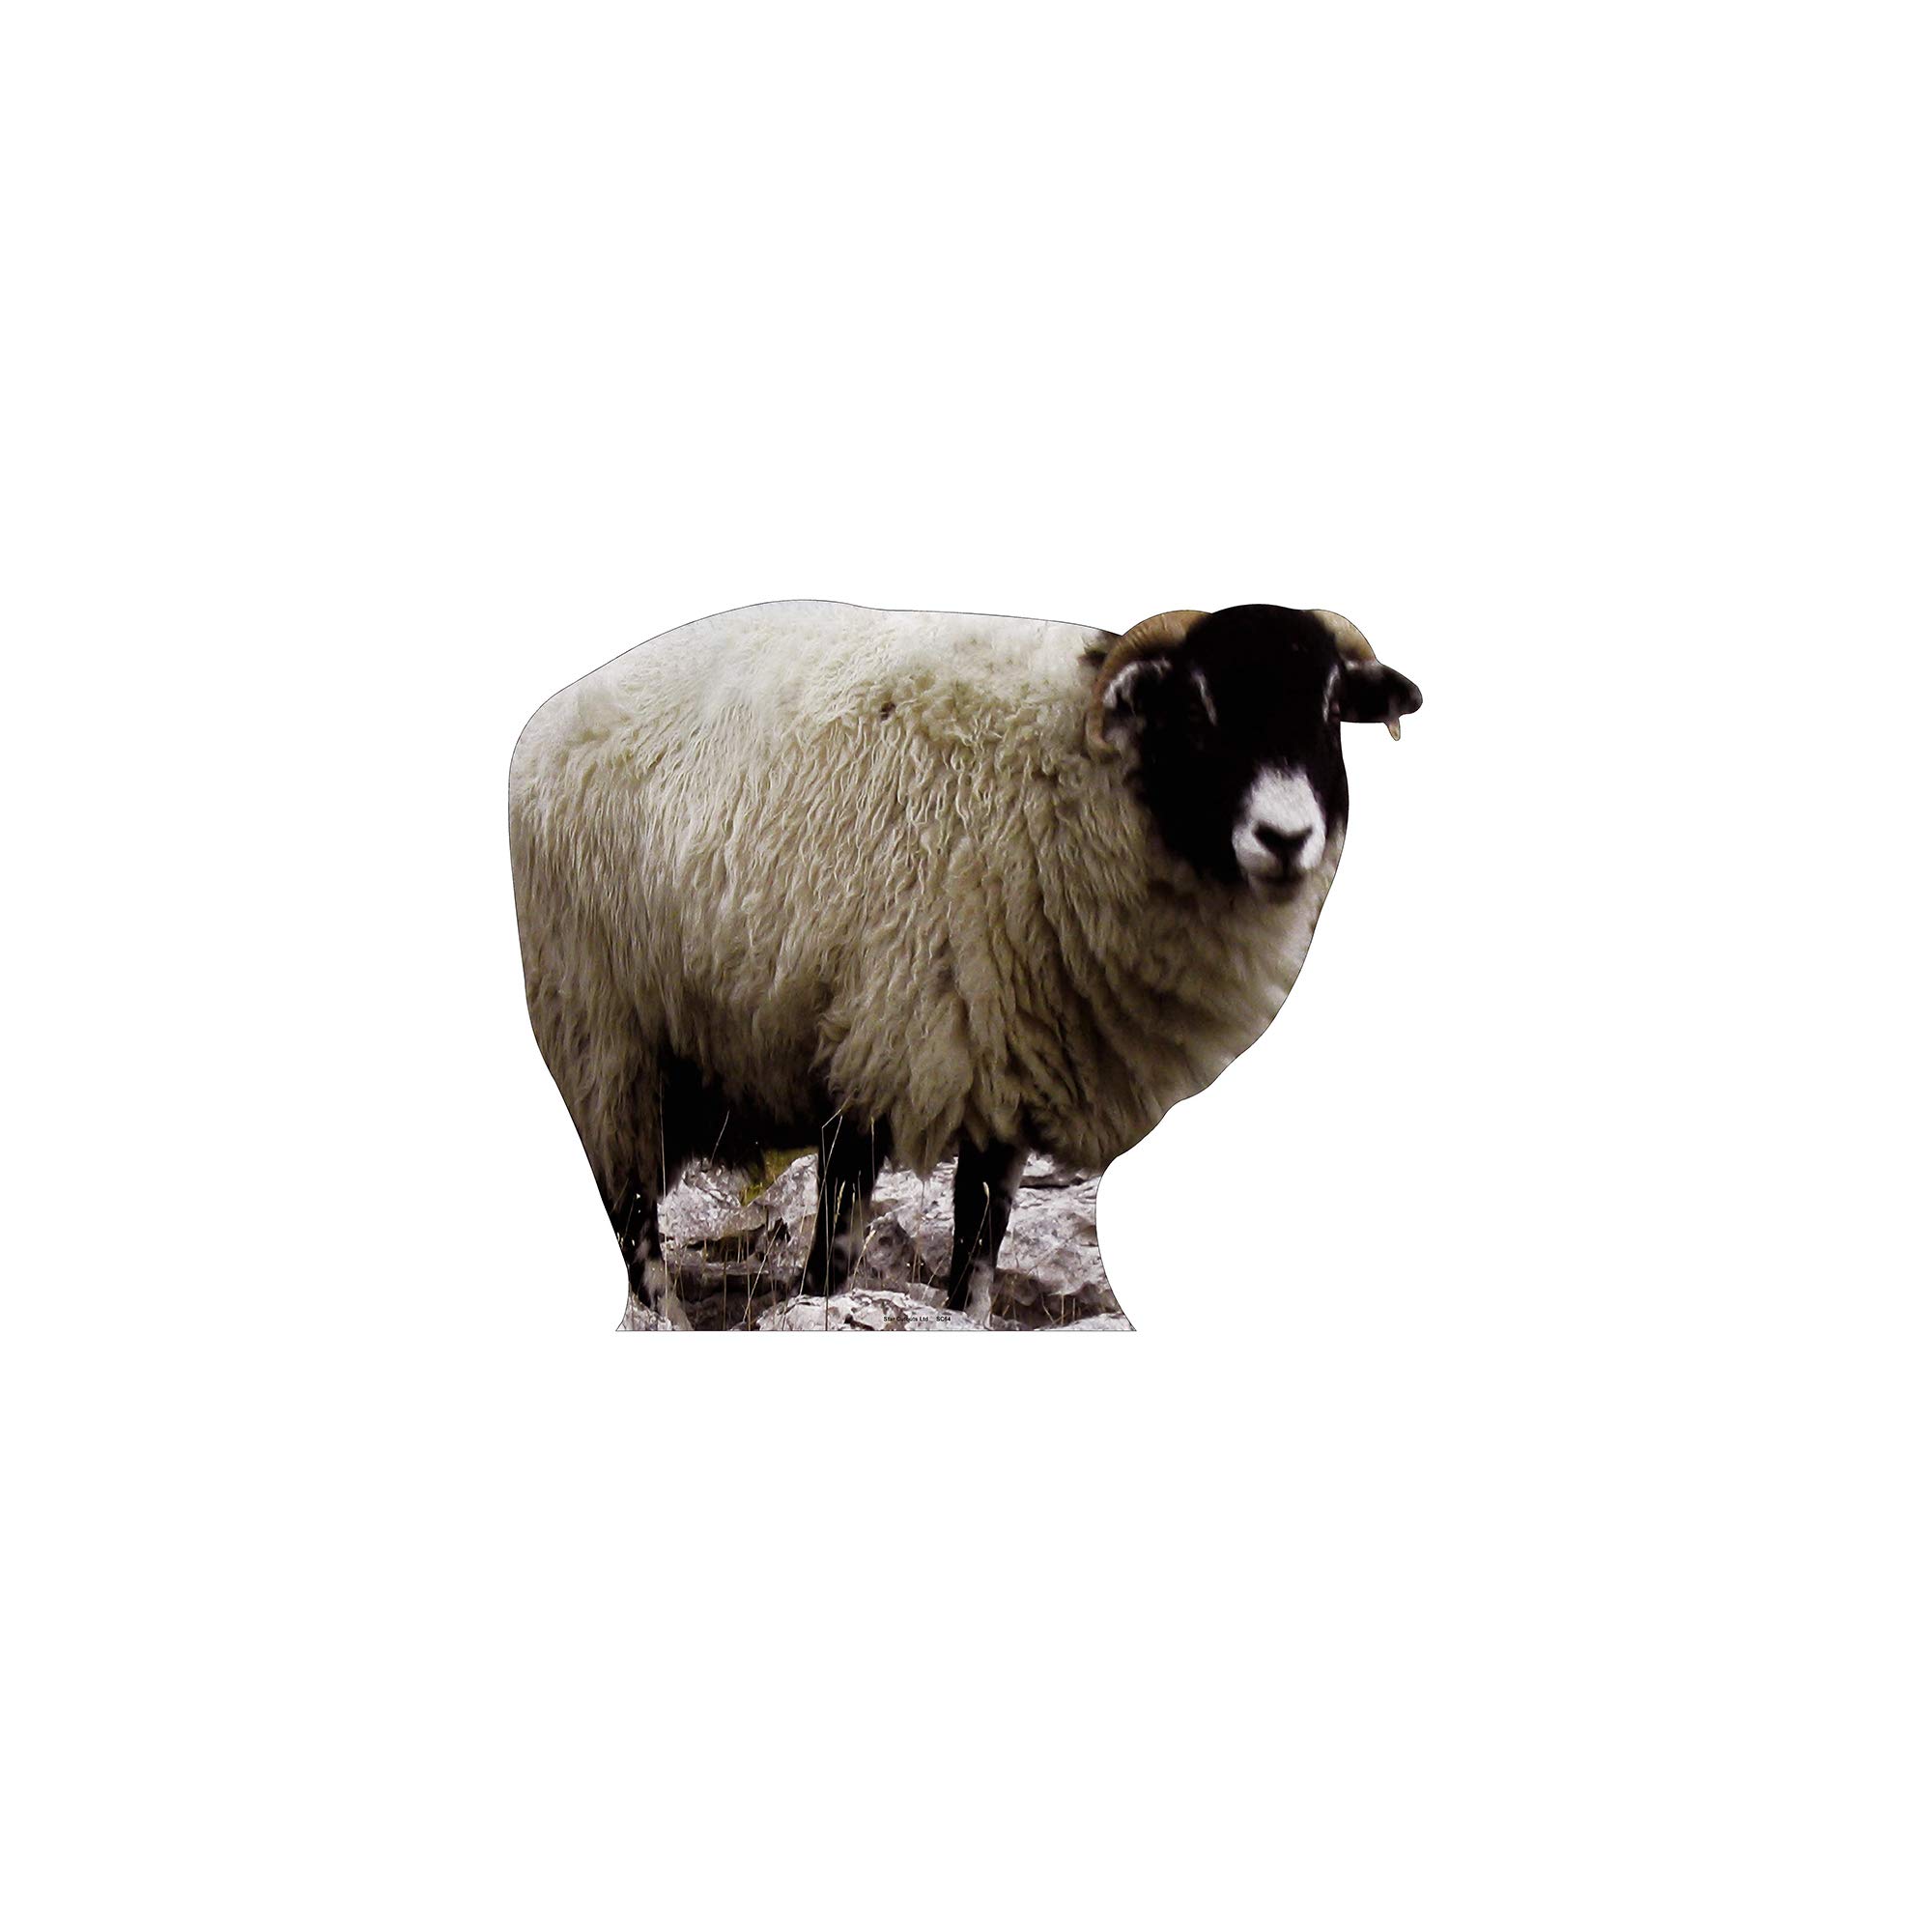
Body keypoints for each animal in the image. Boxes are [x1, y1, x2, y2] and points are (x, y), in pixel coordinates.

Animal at [509, 599, 1421, 1327]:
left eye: (1331, 708)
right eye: (1196, 706)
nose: (1286, 837)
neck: (1079, 781)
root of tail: (548, 718)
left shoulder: (1006, 1063)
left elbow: (980, 1243)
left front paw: (965, 1313)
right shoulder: (875, 1036)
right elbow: (836, 1248)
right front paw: (826, 1307)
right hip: (600, 1035)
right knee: (631, 1218)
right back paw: (662, 1317)